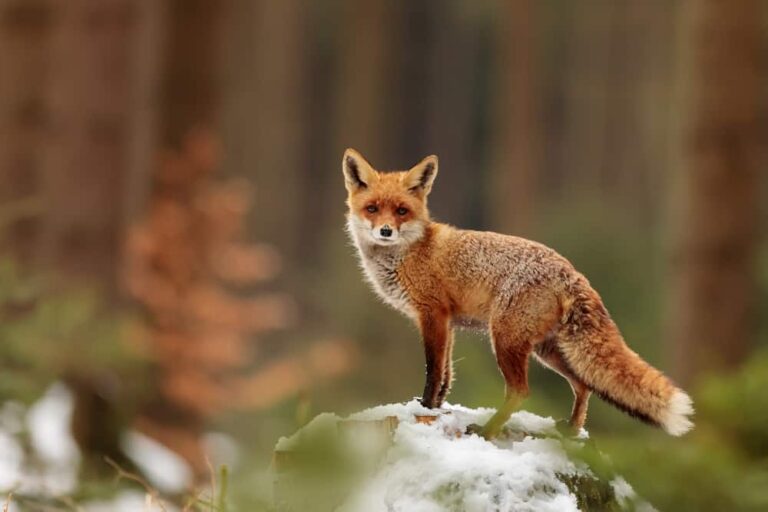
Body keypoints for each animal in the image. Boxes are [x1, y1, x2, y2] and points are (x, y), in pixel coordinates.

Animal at [342, 148, 694, 438]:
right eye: (372, 208)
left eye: (401, 211)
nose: (385, 230)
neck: (409, 252)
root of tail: (572, 272)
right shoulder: (447, 322)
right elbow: (446, 375)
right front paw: (437, 408)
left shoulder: (432, 315)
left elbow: (433, 371)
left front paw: (426, 410)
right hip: (548, 350)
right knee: (583, 384)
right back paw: (571, 430)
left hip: (506, 339)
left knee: (521, 391)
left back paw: (488, 430)